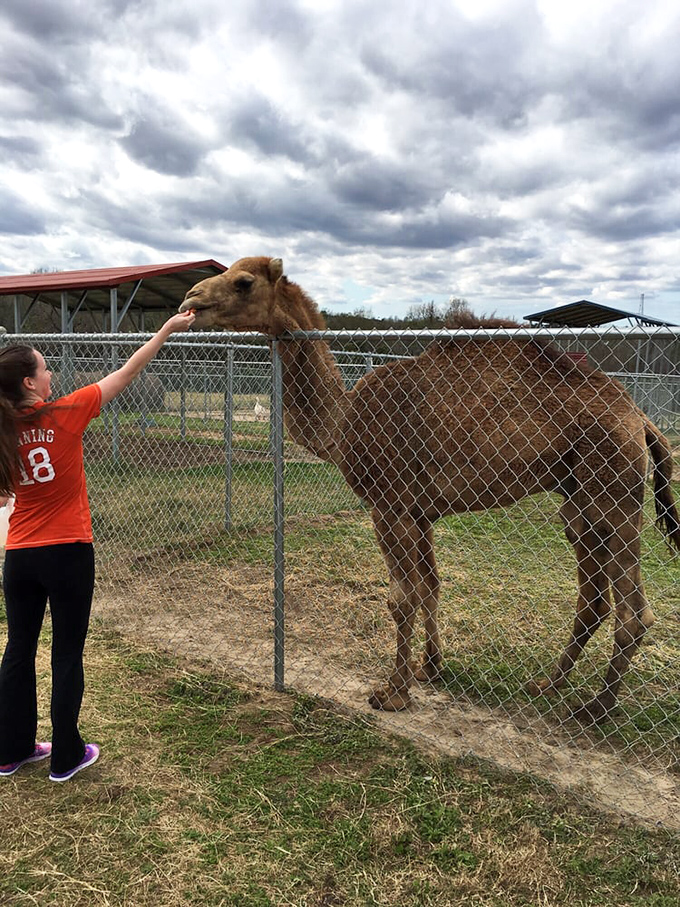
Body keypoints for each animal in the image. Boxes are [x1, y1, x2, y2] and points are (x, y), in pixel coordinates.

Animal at [180, 257, 680, 723]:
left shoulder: (390, 506)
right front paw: (430, 669)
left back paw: (596, 708)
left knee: (633, 612)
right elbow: (430, 586)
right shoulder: (420, 511)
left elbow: (401, 599)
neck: (342, 424)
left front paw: (393, 693)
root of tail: (641, 419)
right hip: (579, 503)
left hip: (612, 492)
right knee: (593, 598)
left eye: (244, 282)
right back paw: (548, 684)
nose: (191, 299)